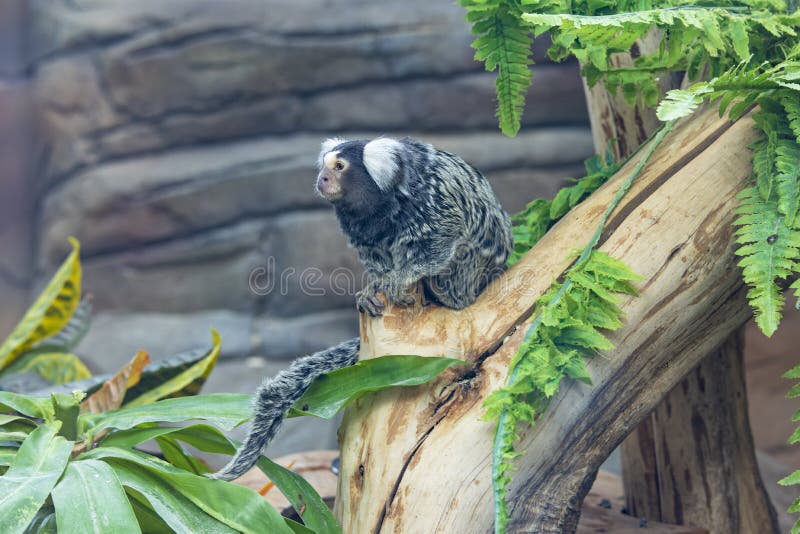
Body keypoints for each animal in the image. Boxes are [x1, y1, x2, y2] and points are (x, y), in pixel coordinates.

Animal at [212, 137, 512, 481]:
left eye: (339, 167)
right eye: (325, 165)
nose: (322, 179)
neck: (388, 200)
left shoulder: (433, 199)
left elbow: (441, 237)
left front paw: (400, 278)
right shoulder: (363, 230)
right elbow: (377, 256)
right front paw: (375, 286)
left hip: (473, 275)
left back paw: (443, 292)